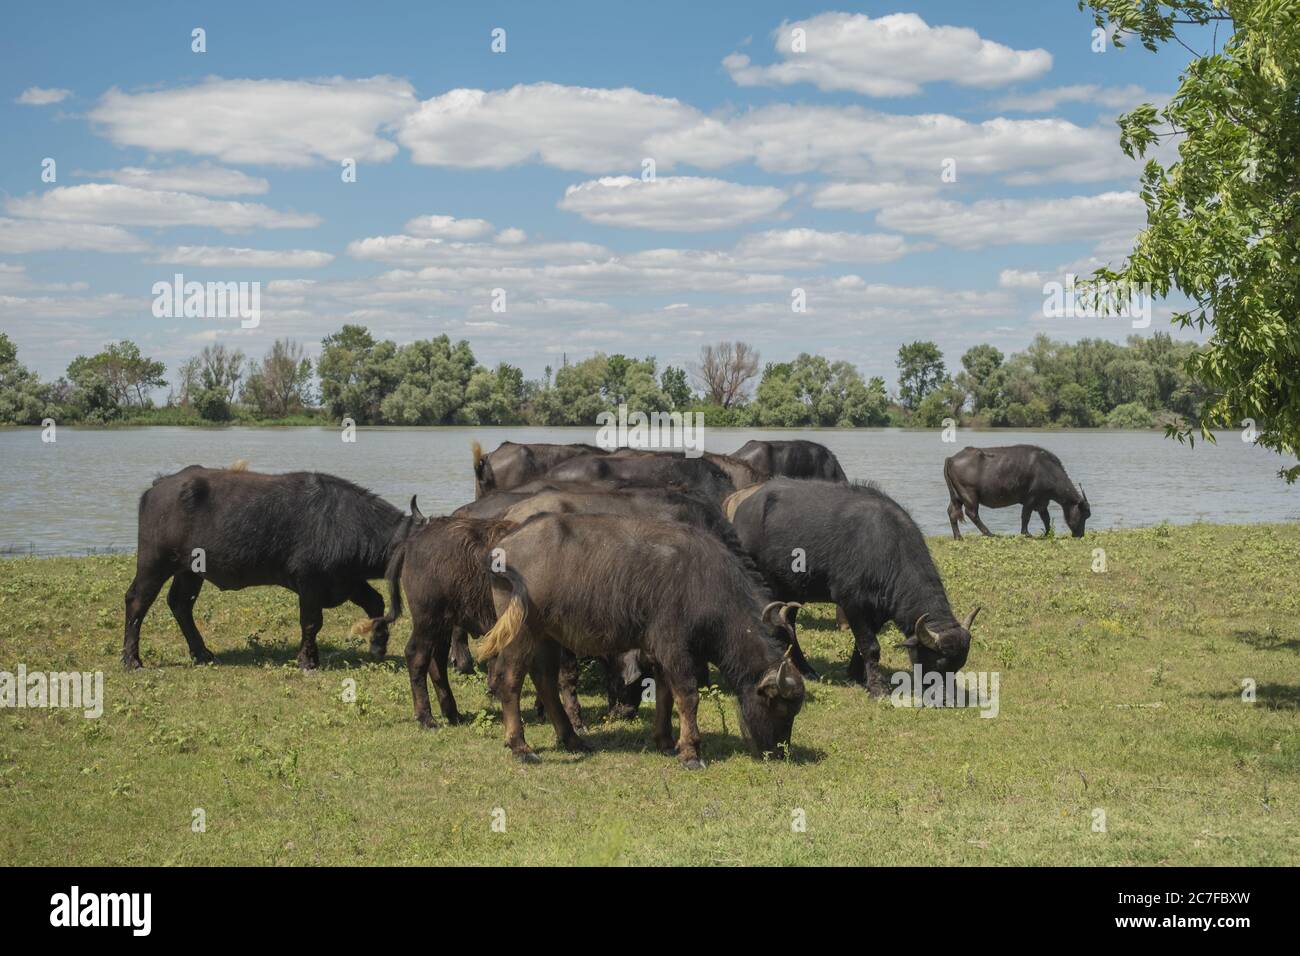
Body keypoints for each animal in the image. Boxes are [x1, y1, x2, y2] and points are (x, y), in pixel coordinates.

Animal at [124, 466, 421, 670]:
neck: (346, 524)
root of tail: (160, 485)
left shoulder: (348, 582)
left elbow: (375, 602)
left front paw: (378, 646)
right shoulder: (310, 582)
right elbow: (312, 622)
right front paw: (308, 661)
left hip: (190, 570)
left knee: (180, 603)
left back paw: (203, 654)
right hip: (155, 562)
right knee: (137, 601)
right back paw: (132, 660)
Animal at [475, 513, 805, 767]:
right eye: (781, 708)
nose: (779, 752)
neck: (703, 585)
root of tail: (503, 546)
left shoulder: (659, 652)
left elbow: (665, 694)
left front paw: (666, 741)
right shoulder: (674, 648)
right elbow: (688, 696)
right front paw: (690, 753)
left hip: (546, 635)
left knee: (544, 680)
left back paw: (572, 739)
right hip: (521, 631)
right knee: (509, 680)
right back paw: (521, 747)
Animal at [728, 479, 979, 698]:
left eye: (958, 665)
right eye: (938, 663)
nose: (947, 696)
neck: (886, 550)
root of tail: (744, 508)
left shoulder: (878, 611)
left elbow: (861, 646)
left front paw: (856, 675)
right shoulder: (852, 603)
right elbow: (870, 646)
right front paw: (877, 688)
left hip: (792, 590)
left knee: (788, 621)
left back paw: (805, 669)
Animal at [944, 445, 1090, 539]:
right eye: (1084, 514)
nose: (1080, 535)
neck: (1047, 469)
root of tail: (951, 458)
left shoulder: (1042, 502)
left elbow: (1046, 518)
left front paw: (1047, 533)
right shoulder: (1031, 498)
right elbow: (1026, 516)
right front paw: (1026, 533)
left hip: (956, 496)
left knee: (952, 512)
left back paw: (958, 537)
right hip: (969, 494)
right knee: (972, 513)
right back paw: (989, 533)